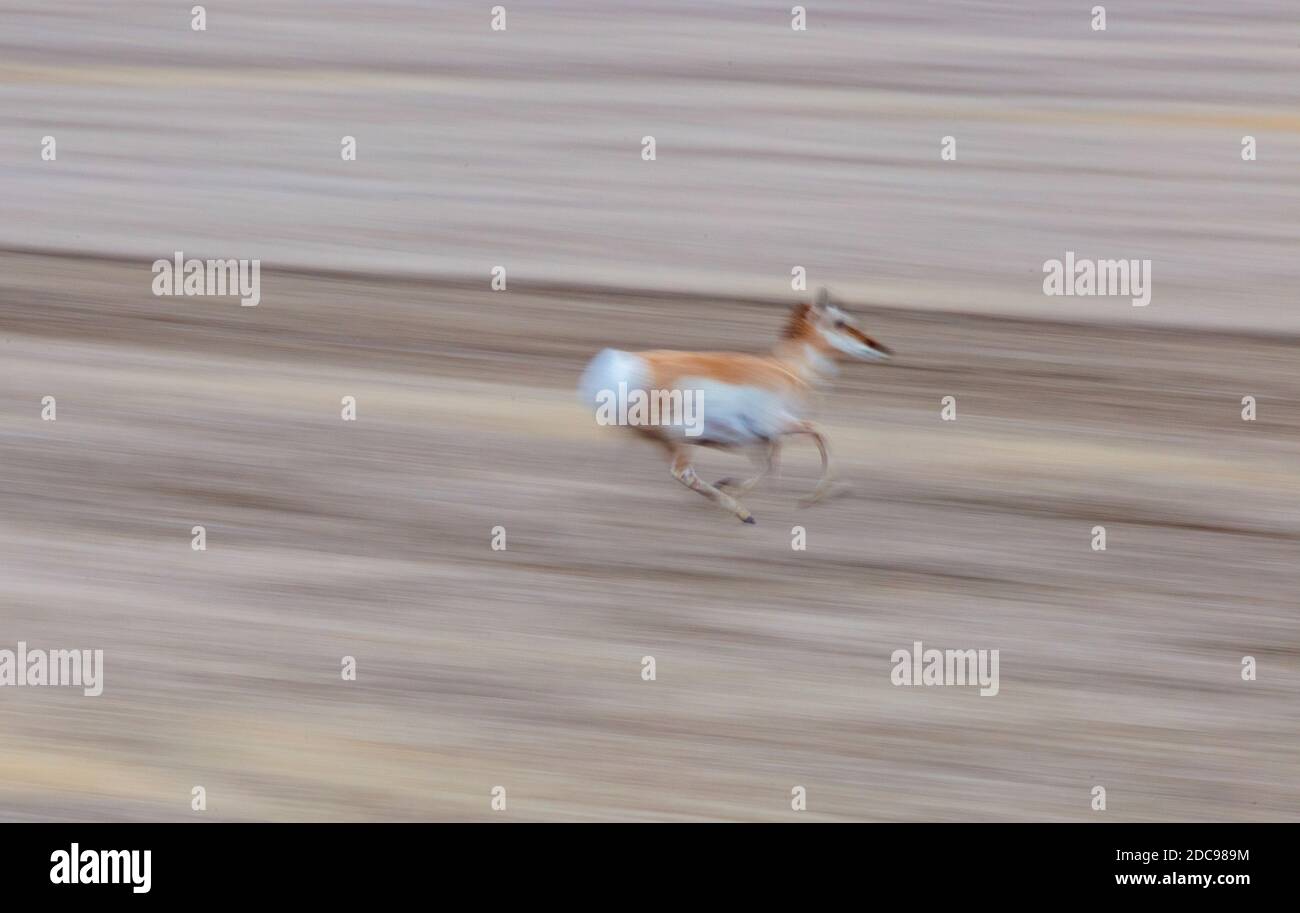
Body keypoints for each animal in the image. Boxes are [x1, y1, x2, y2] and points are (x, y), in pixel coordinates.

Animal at [579, 289, 893, 523]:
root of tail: (630, 362)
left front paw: (733, 483)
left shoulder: (761, 438)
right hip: (681, 438)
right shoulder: (778, 424)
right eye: (840, 321)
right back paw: (744, 514)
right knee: (683, 473)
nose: (880, 348)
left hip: (659, 439)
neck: (786, 369)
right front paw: (815, 496)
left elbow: (770, 462)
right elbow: (819, 433)